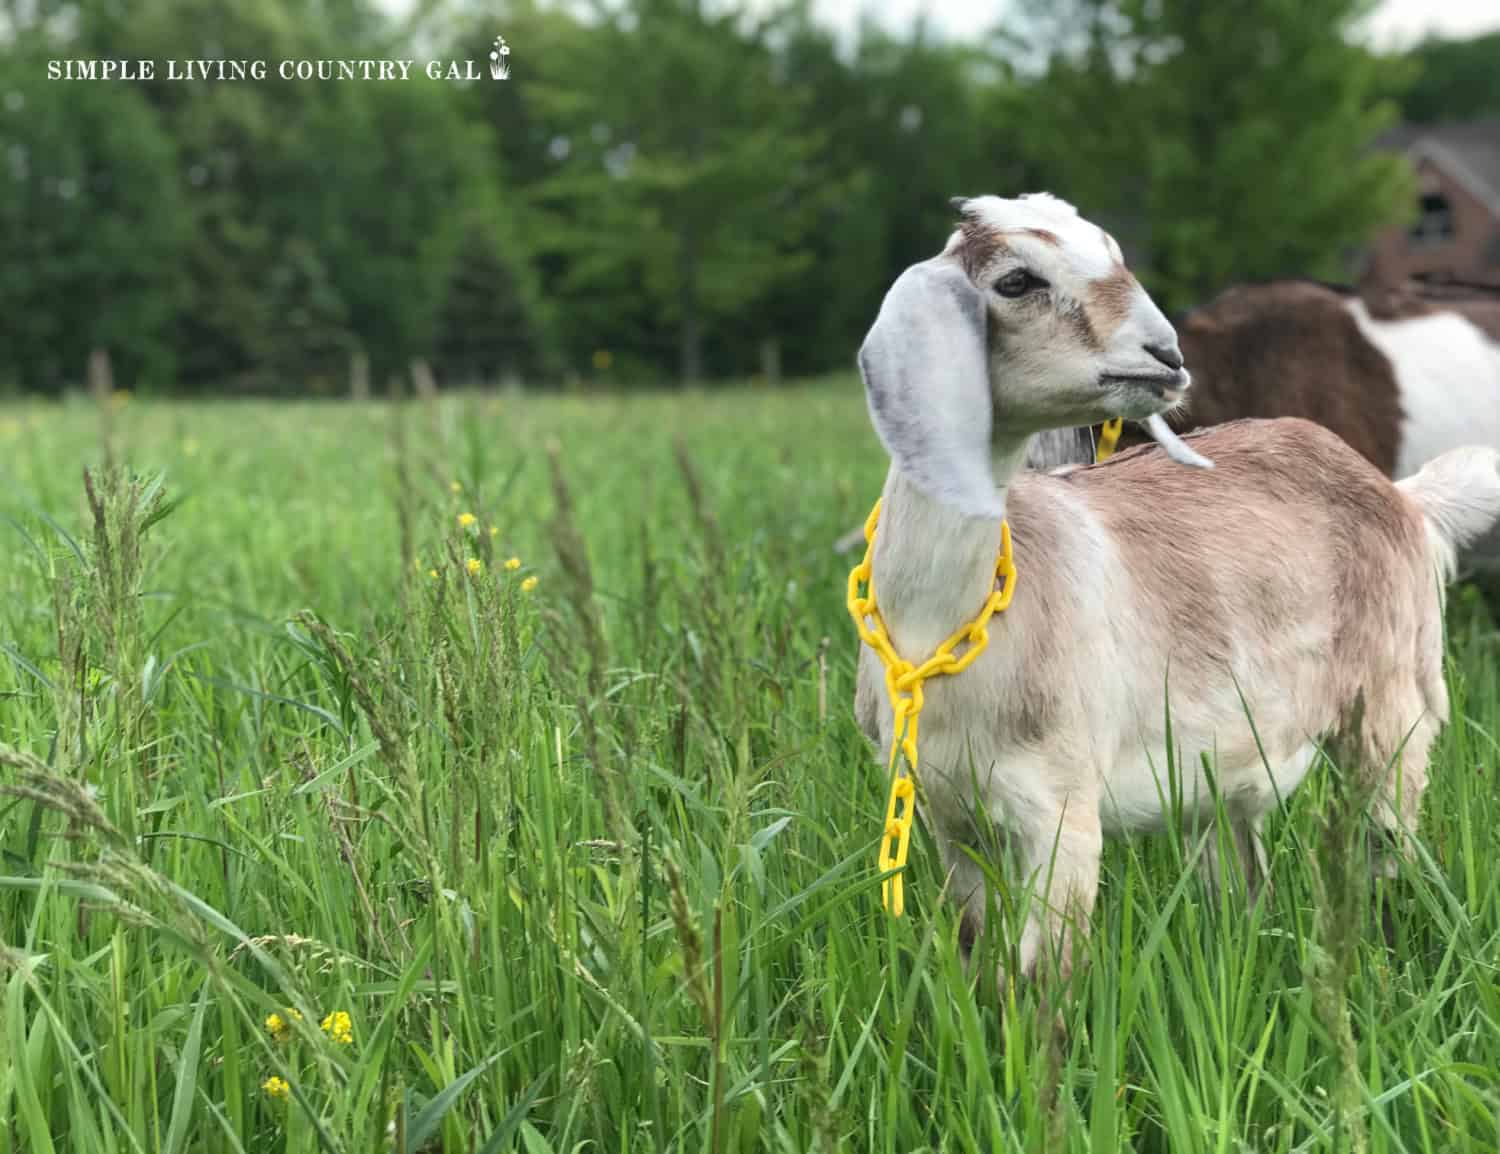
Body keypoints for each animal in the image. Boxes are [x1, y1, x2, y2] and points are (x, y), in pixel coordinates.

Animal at [852, 193, 1500, 979]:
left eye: (1114, 252)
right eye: (1016, 280)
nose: (1165, 357)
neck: (948, 626)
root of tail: (1405, 497)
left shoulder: (1061, 809)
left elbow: (1043, 984)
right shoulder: (950, 818)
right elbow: (979, 959)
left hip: (1392, 712)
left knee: (1385, 861)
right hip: (1227, 774)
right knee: (1247, 885)